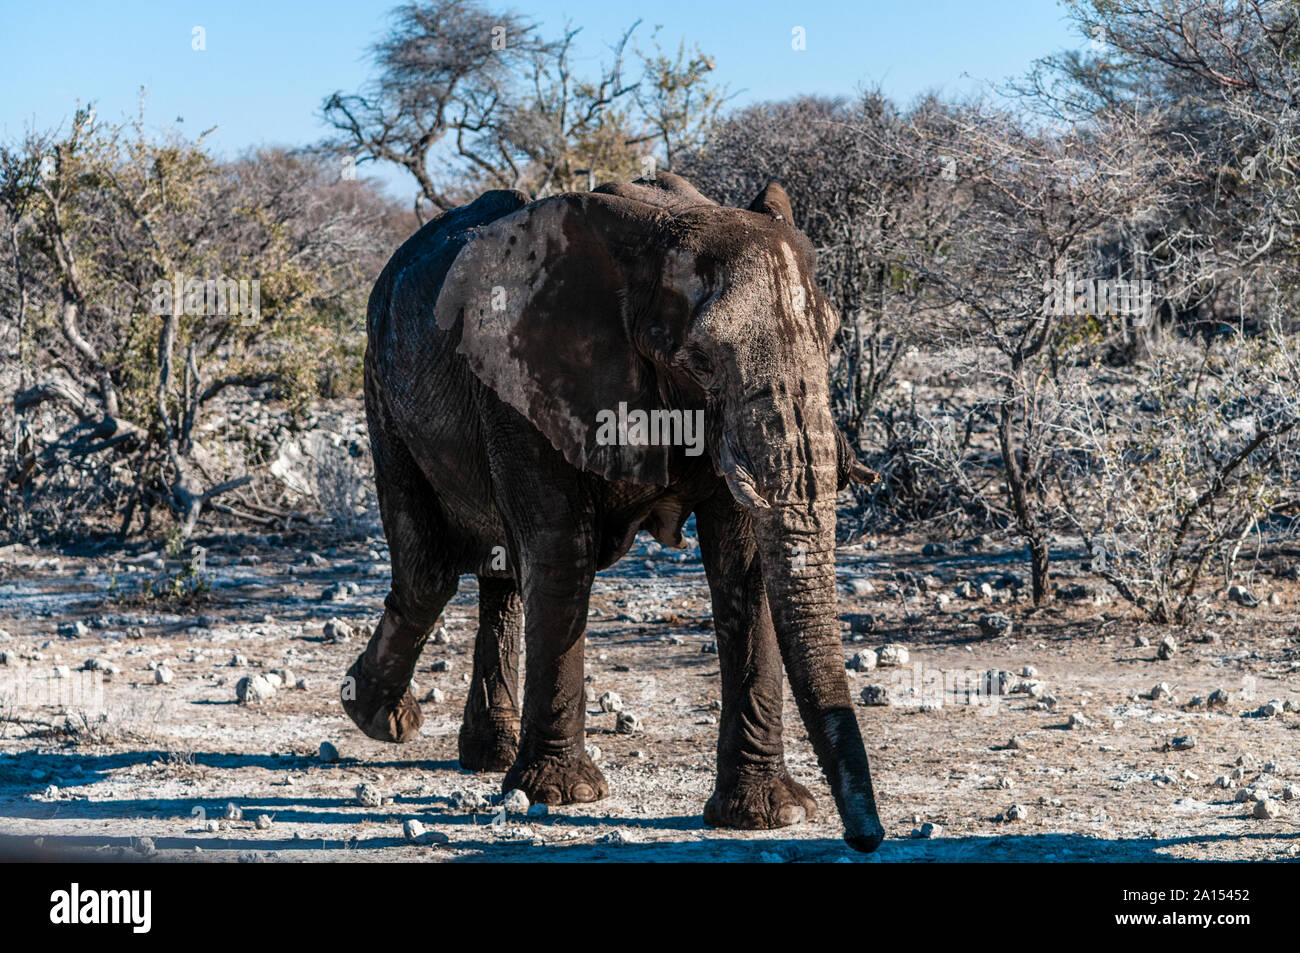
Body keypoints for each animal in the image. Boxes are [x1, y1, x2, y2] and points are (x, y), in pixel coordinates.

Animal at [340, 171, 885, 851]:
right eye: (699, 360)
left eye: (833, 338)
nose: (866, 838)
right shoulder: (524, 380)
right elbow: (559, 551)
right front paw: (559, 797)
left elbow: (743, 563)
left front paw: (770, 814)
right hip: (382, 391)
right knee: (428, 571)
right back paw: (380, 718)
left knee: (497, 572)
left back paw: (489, 755)